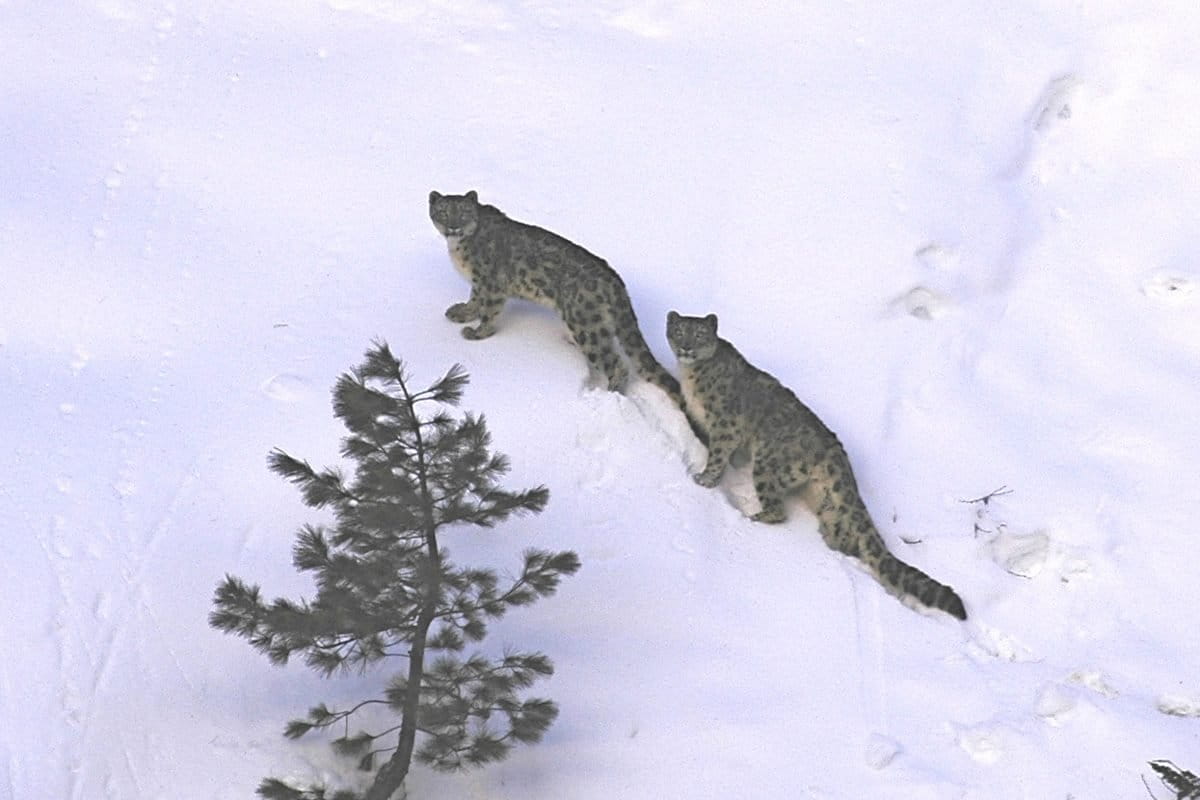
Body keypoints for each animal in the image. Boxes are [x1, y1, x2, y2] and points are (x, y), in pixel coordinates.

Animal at [666, 310, 967, 620]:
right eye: (679, 331)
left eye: (699, 334)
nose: (686, 347)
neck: (691, 375)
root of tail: (836, 453)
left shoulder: (725, 426)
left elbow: (717, 455)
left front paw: (704, 479)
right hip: (828, 502)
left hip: (767, 465)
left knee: (778, 511)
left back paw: (753, 518)